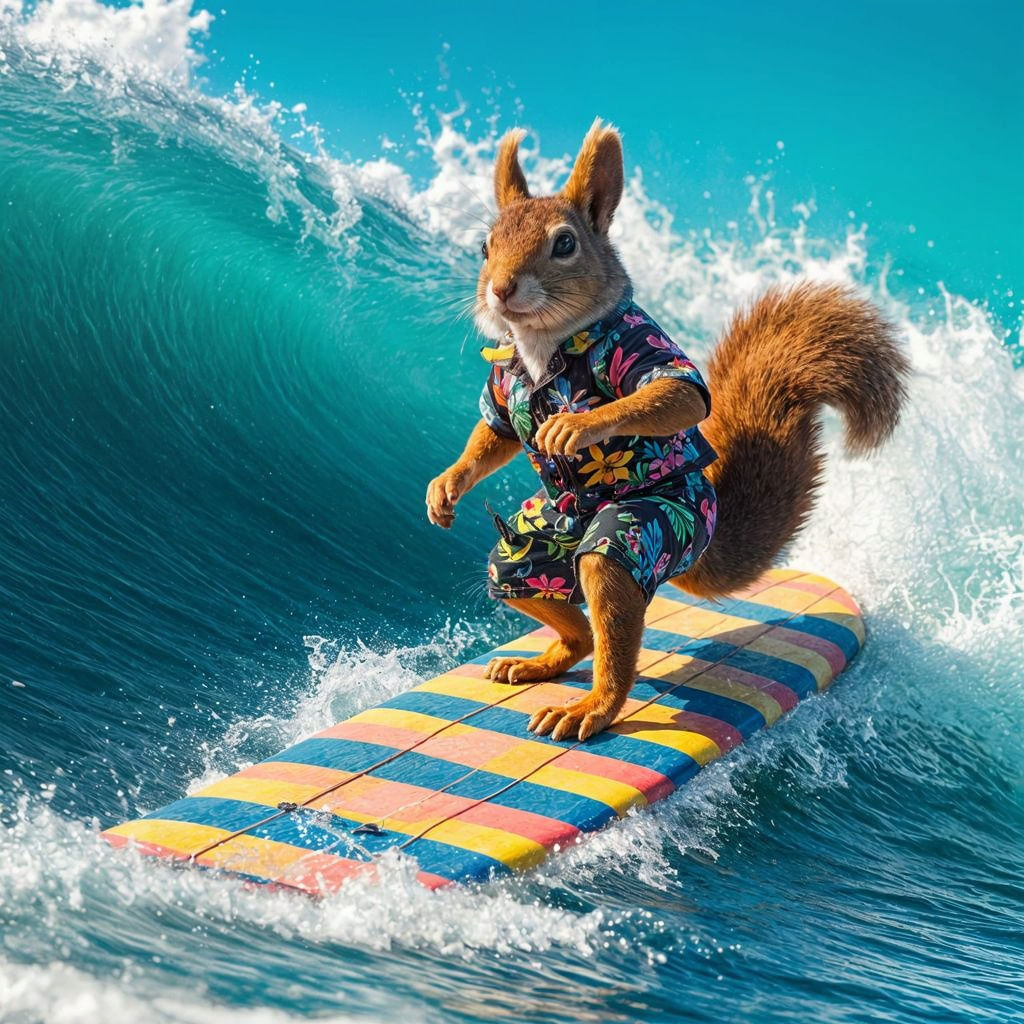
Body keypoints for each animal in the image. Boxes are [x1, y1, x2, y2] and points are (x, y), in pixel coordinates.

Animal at [426, 119, 909, 743]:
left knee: (604, 579)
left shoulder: (637, 340)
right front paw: (446, 485)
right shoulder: (502, 389)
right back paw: (548, 658)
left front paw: (577, 424)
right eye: (485, 247)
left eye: (565, 244)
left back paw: (592, 707)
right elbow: (497, 434)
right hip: (533, 544)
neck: (541, 345)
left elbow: (676, 392)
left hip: (652, 530)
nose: (501, 289)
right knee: (518, 579)